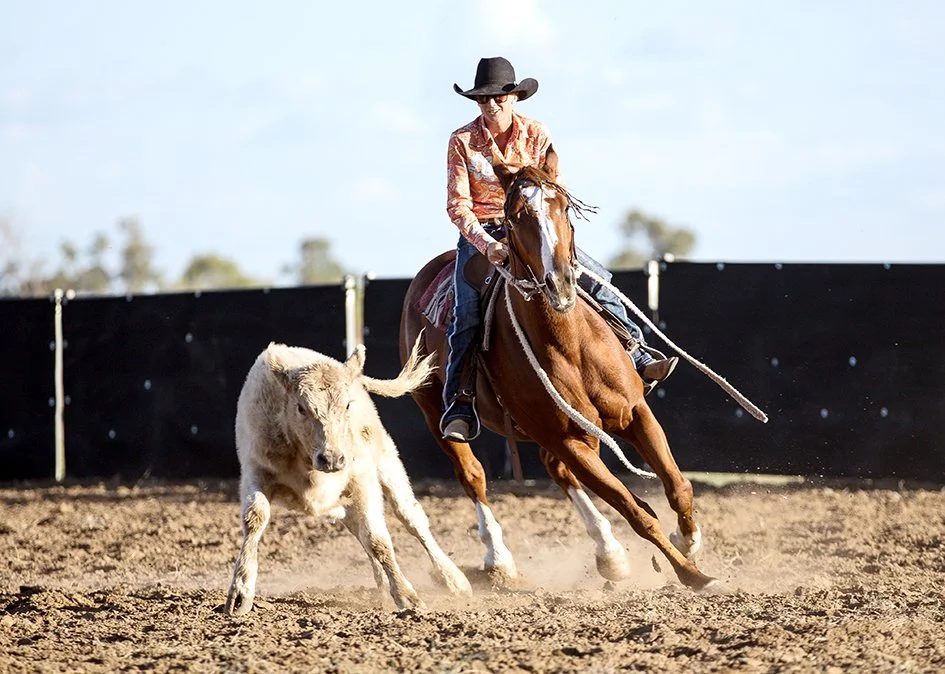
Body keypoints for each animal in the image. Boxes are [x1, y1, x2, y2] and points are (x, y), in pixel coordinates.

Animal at [399, 150, 720, 592]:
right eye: (516, 215)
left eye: (564, 207)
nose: (560, 284)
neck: (571, 346)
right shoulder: (568, 438)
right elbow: (636, 512)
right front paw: (692, 573)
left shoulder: (634, 413)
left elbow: (679, 487)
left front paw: (688, 542)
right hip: (436, 413)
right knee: (474, 475)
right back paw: (499, 560)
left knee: (557, 471)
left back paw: (610, 554)